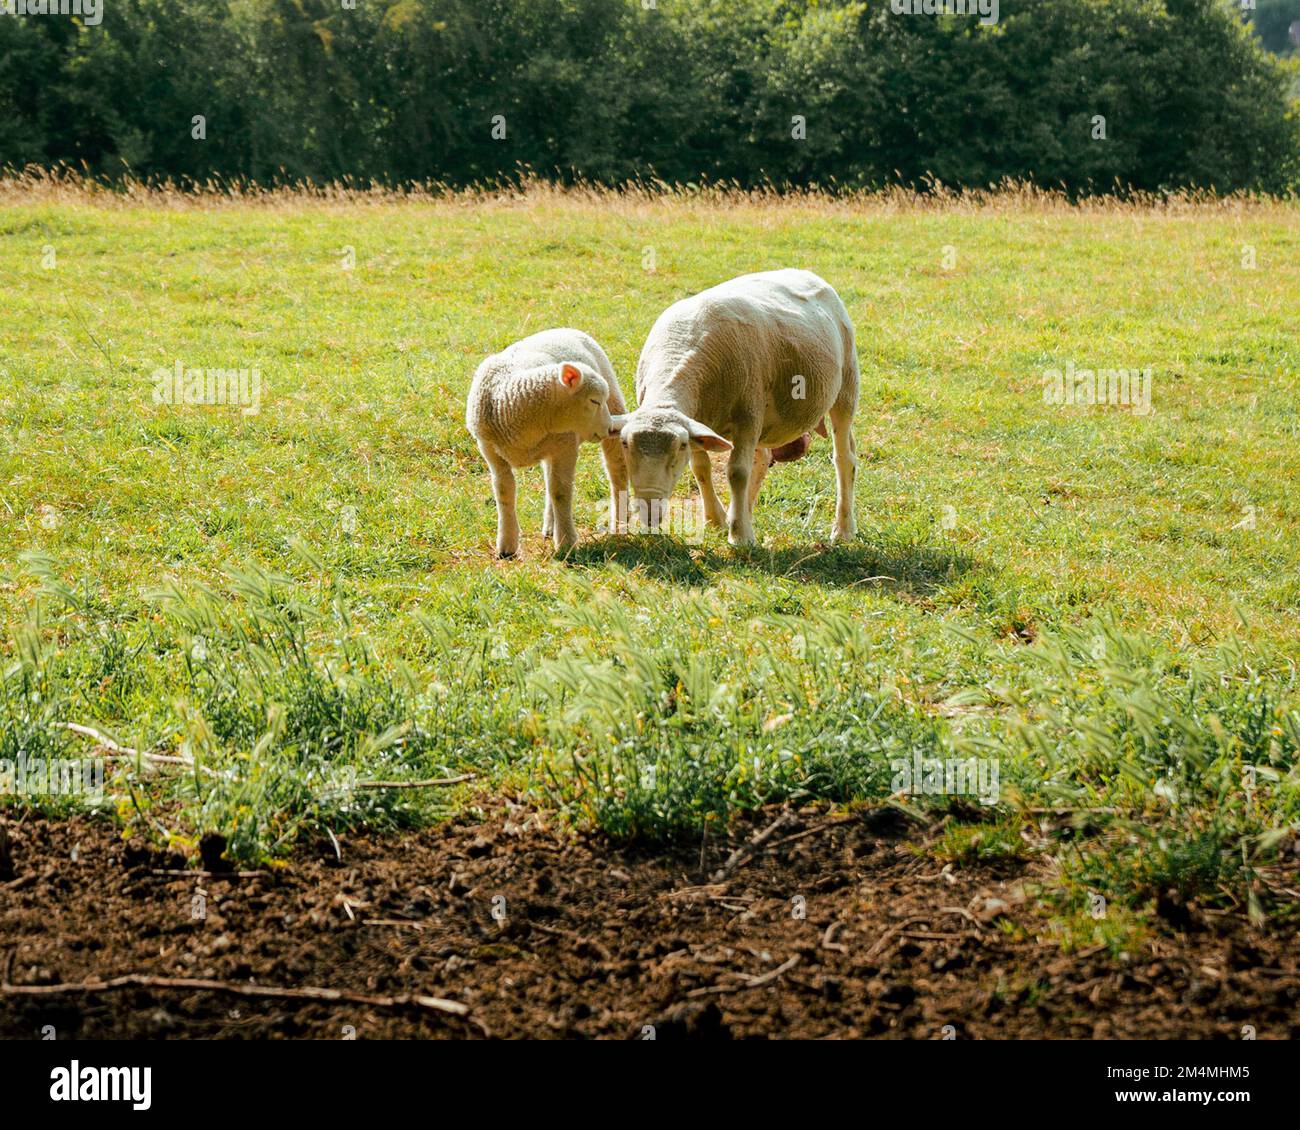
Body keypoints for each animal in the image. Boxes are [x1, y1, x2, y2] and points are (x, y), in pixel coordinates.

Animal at [466, 328, 628, 557]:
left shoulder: (566, 446)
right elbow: (504, 491)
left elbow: (560, 493)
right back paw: (551, 527)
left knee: (616, 472)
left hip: (613, 400)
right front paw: (506, 546)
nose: (609, 428)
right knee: (548, 478)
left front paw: (567, 544)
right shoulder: (490, 451)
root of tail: (565, 328)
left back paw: (620, 524)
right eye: (594, 401)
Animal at [616, 269, 859, 547]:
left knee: (844, 458)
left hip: (846, 385)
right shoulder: (696, 421)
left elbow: (737, 472)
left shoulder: (748, 414)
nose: (649, 509)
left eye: (679, 446)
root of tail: (806, 273)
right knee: (762, 458)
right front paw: (716, 520)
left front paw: (740, 536)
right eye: (624, 444)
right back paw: (744, 511)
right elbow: (701, 468)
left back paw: (843, 530)